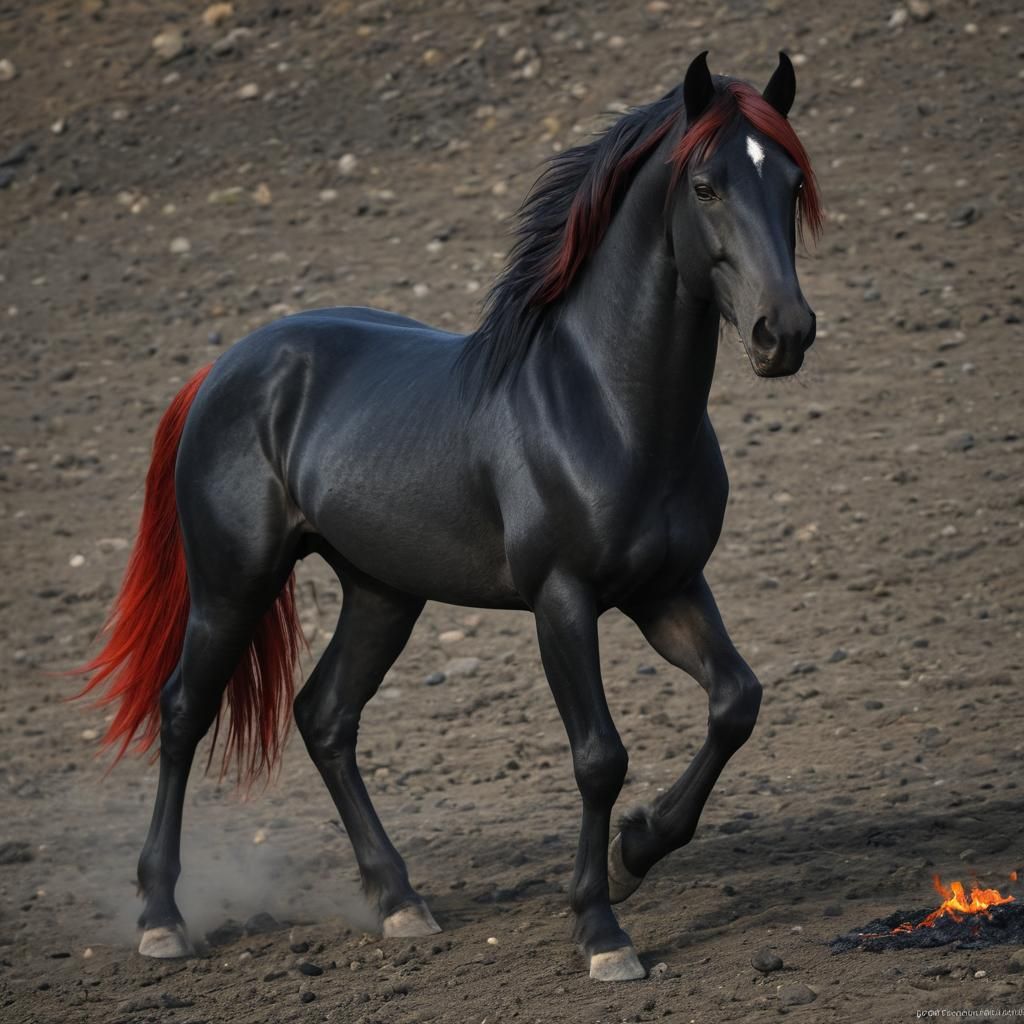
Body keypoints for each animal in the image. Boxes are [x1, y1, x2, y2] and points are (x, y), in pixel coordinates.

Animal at [77, 51, 821, 982]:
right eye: (706, 184)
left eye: (791, 181)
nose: (783, 333)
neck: (606, 405)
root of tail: (227, 368)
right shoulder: (562, 599)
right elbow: (598, 756)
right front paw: (602, 931)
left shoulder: (669, 588)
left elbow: (736, 701)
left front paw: (636, 849)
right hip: (232, 583)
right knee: (183, 712)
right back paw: (161, 919)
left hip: (382, 591)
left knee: (325, 716)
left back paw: (401, 902)